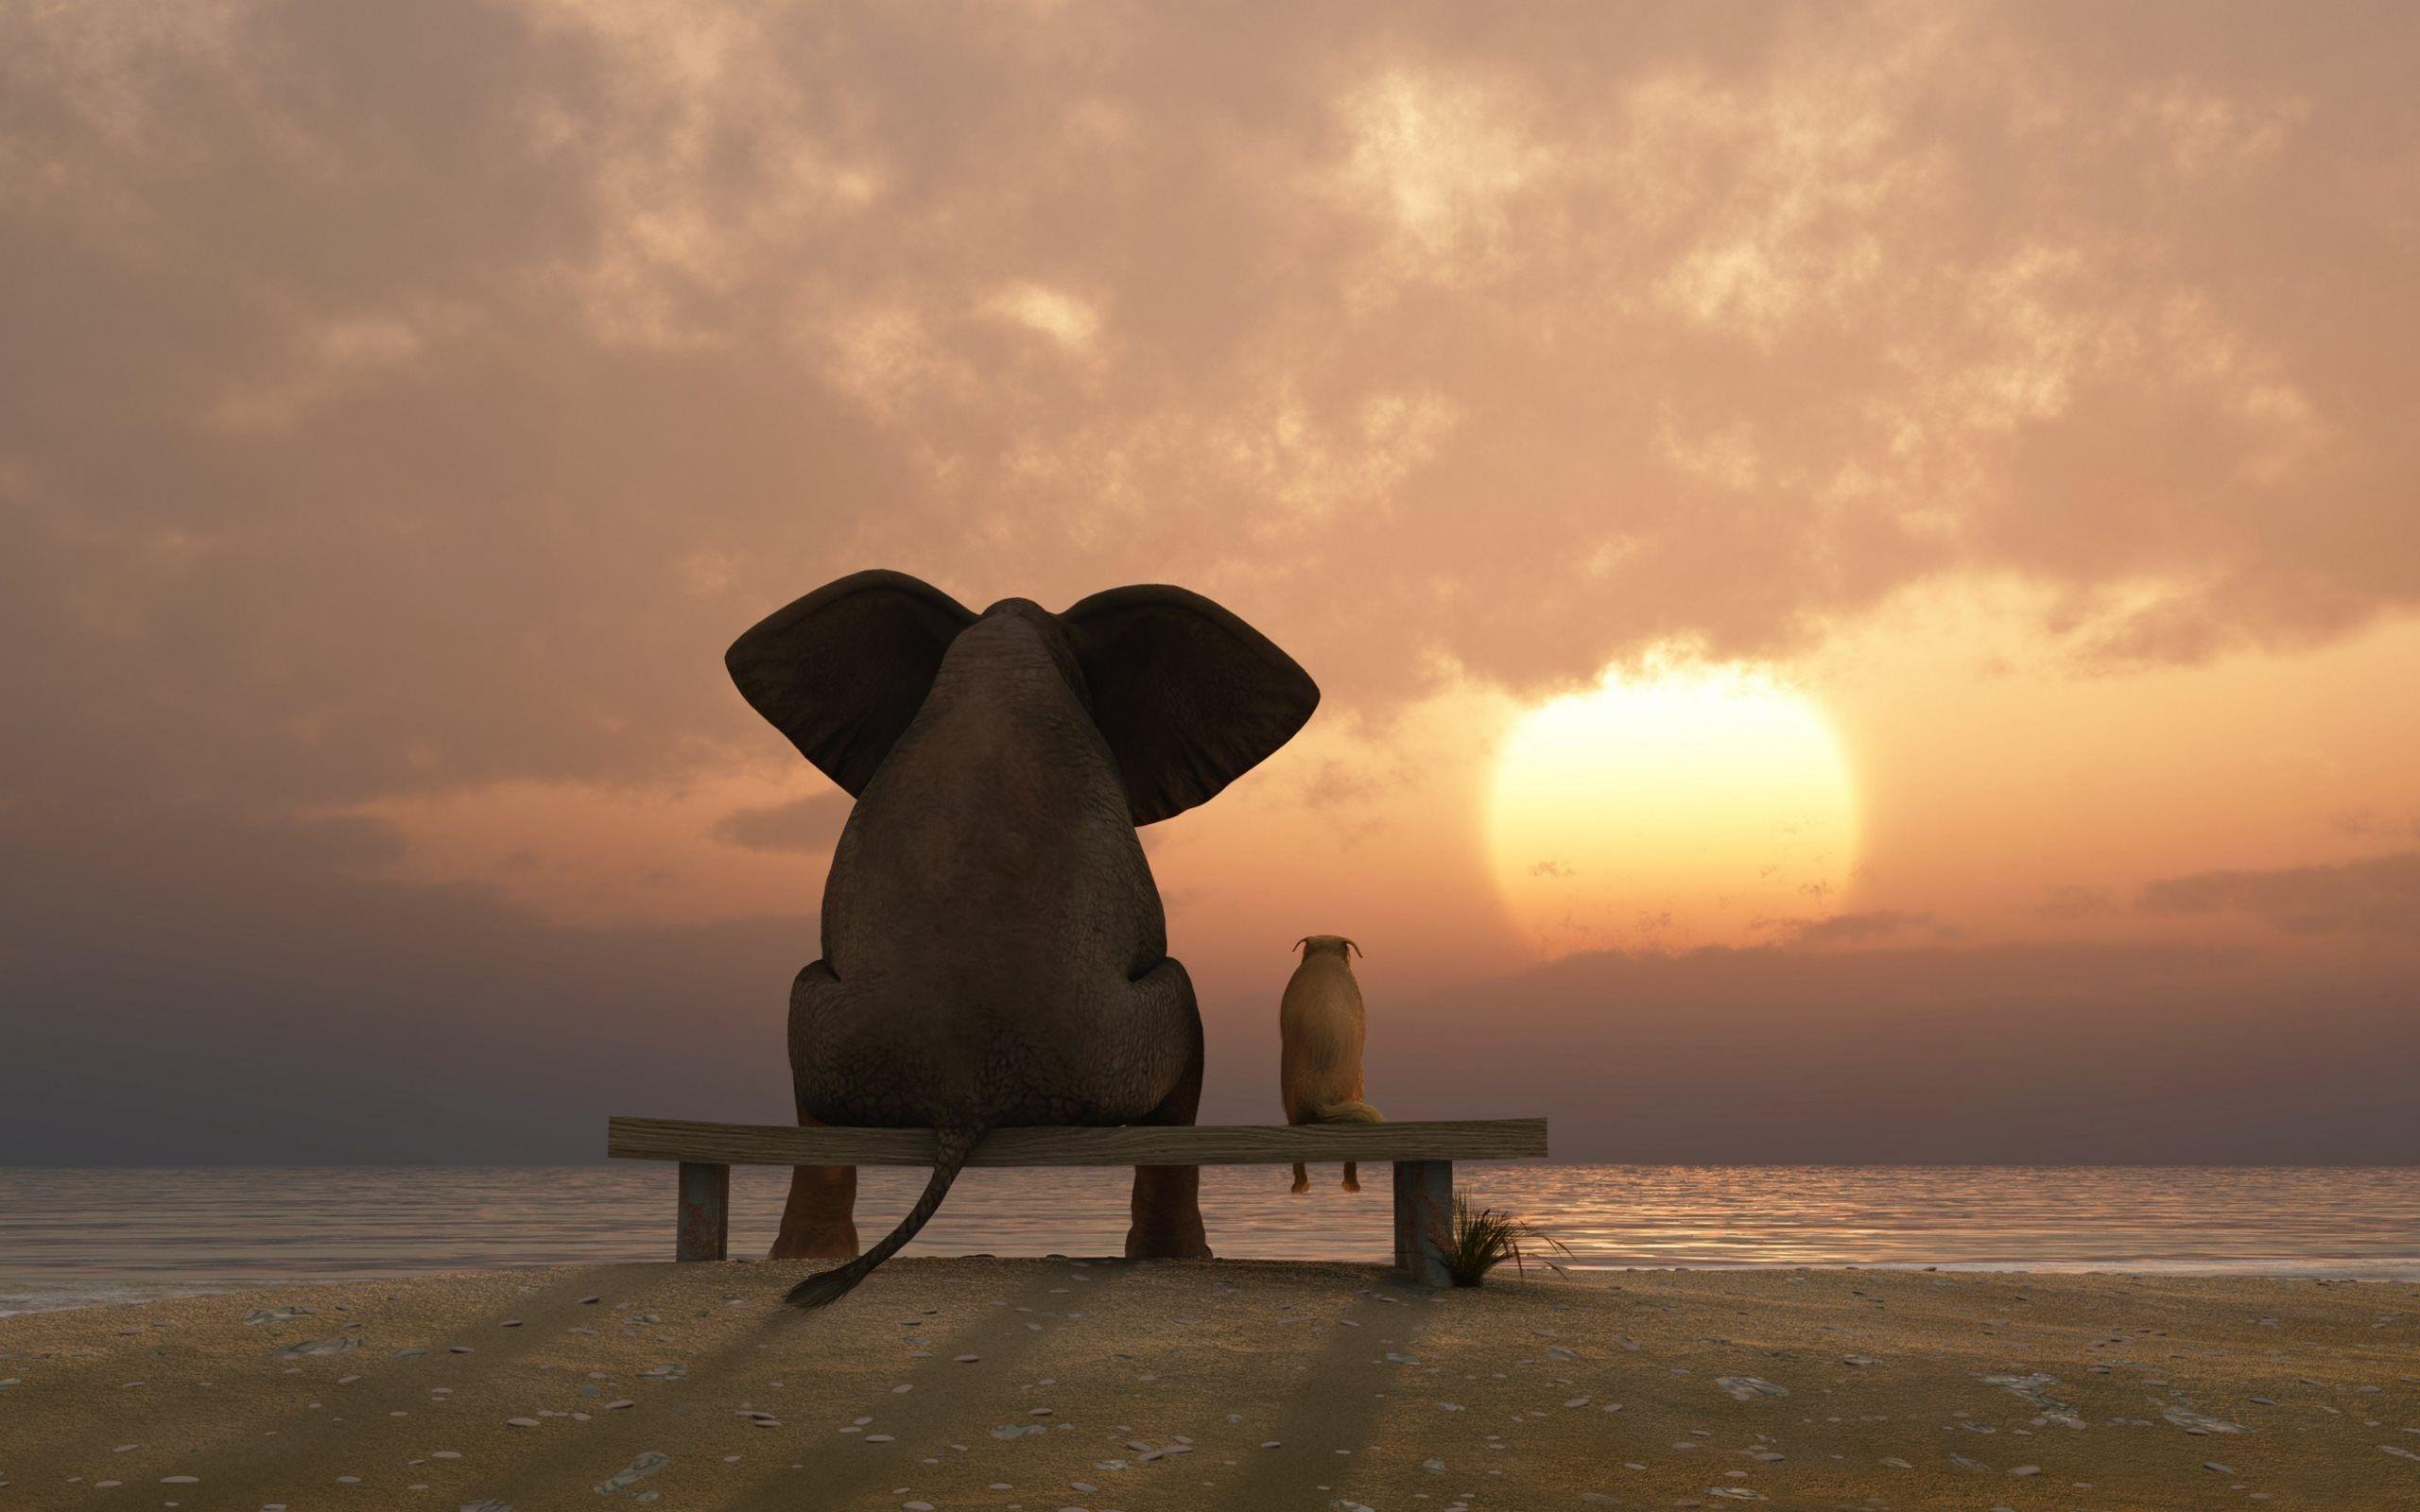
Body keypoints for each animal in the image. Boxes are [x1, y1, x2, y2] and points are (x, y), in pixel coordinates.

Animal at [725, 569, 1320, 1307]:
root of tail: (962, 1106)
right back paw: (1178, 1260)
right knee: (1183, 1017)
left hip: (836, 1038)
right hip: (1112, 1049)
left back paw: (801, 1262)